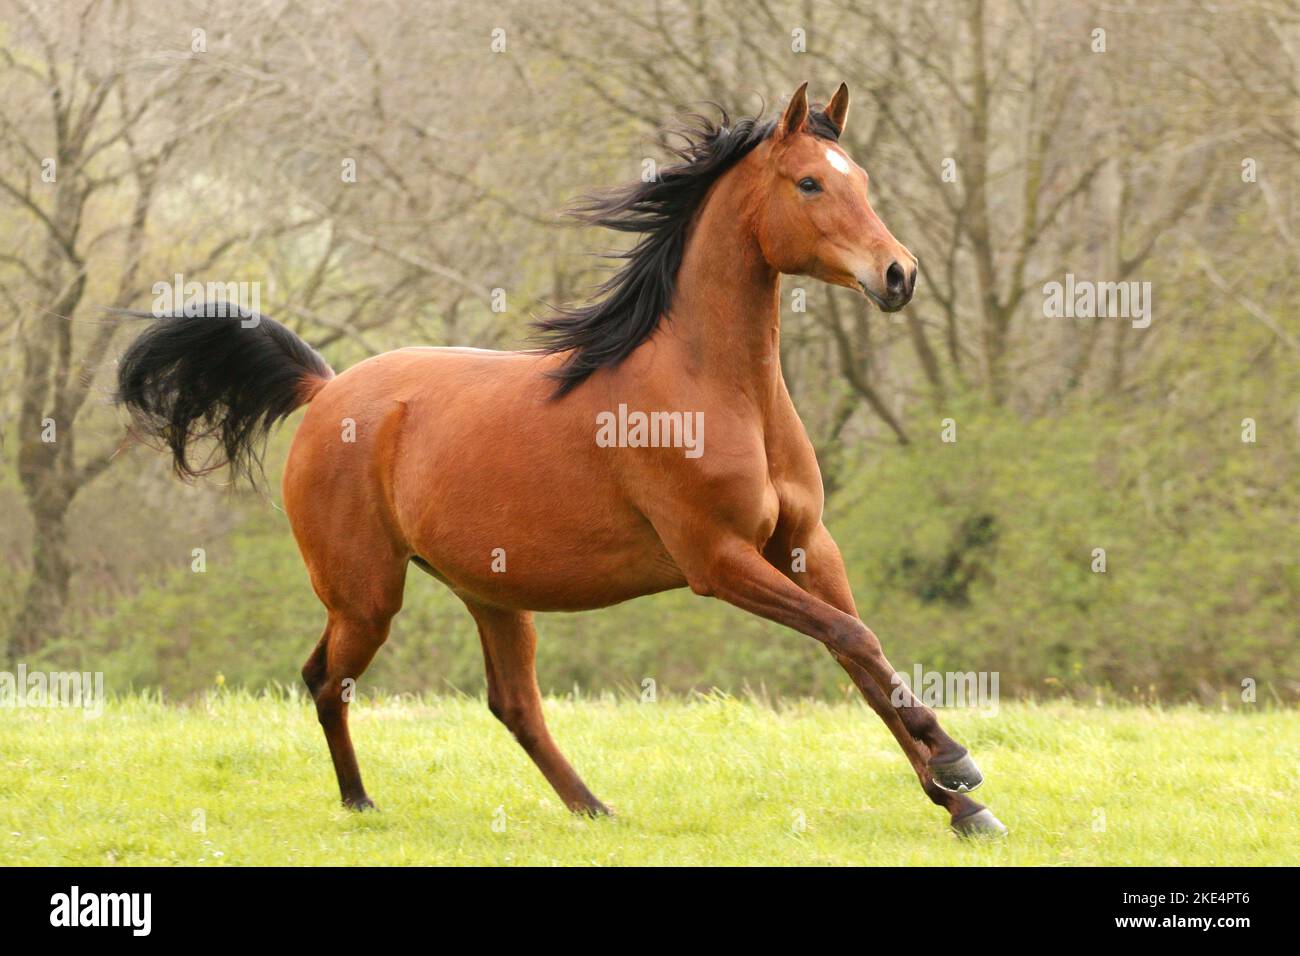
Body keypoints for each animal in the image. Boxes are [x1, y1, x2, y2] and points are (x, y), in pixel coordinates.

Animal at [116, 82, 1006, 837]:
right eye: (811, 184)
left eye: (862, 178)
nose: (899, 274)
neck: (718, 390)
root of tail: (327, 389)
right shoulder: (718, 560)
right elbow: (852, 639)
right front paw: (959, 765)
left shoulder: (805, 546)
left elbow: (862, 653)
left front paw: (960, 802)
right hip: (367, 595)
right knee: (325, 679)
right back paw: (362, 803)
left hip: (489, 592)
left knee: (509, 703)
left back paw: (592, 808)